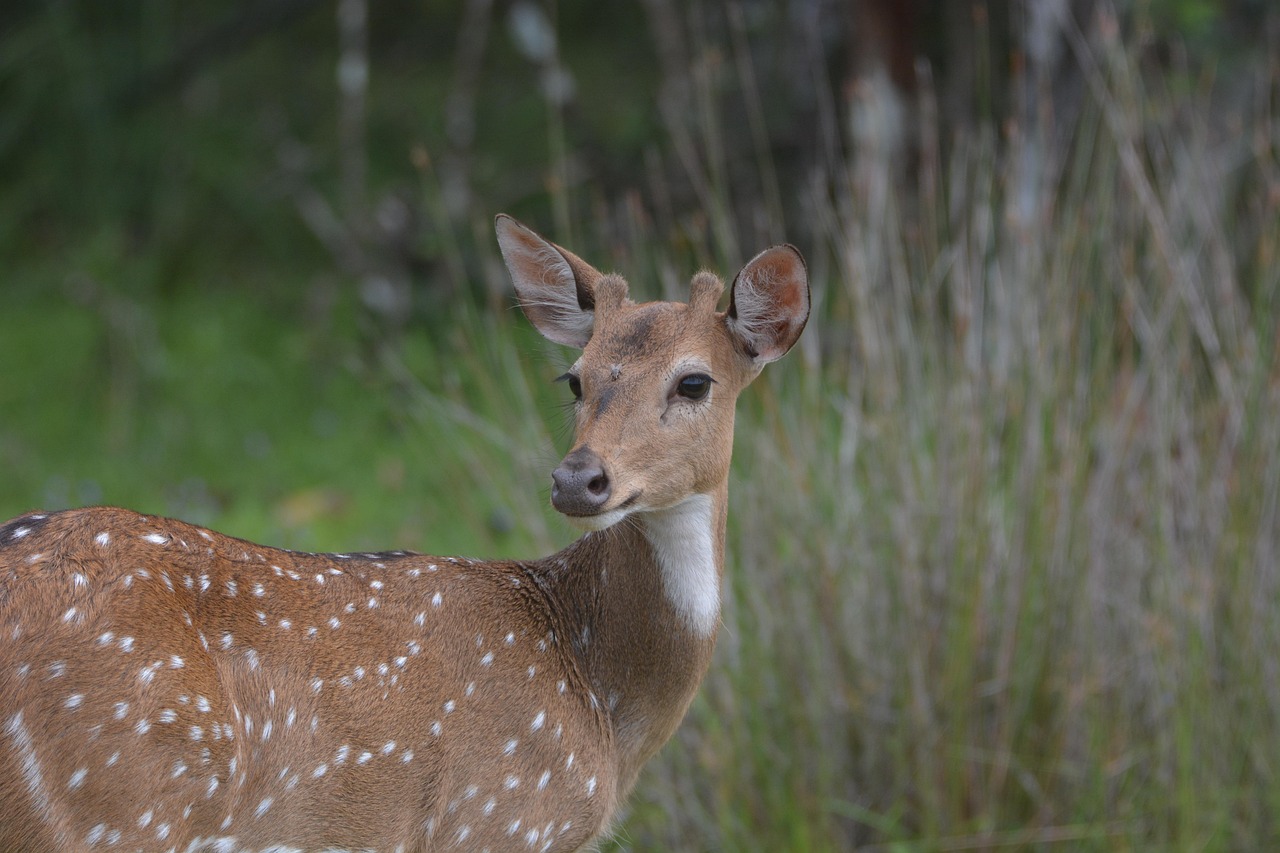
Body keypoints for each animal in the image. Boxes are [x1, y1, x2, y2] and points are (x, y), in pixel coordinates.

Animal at [0, 214, 809, 853]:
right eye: (573, 378)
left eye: (695, 381)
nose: (578, 479)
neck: (600, 701)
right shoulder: (498, 820)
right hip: (117, 807)